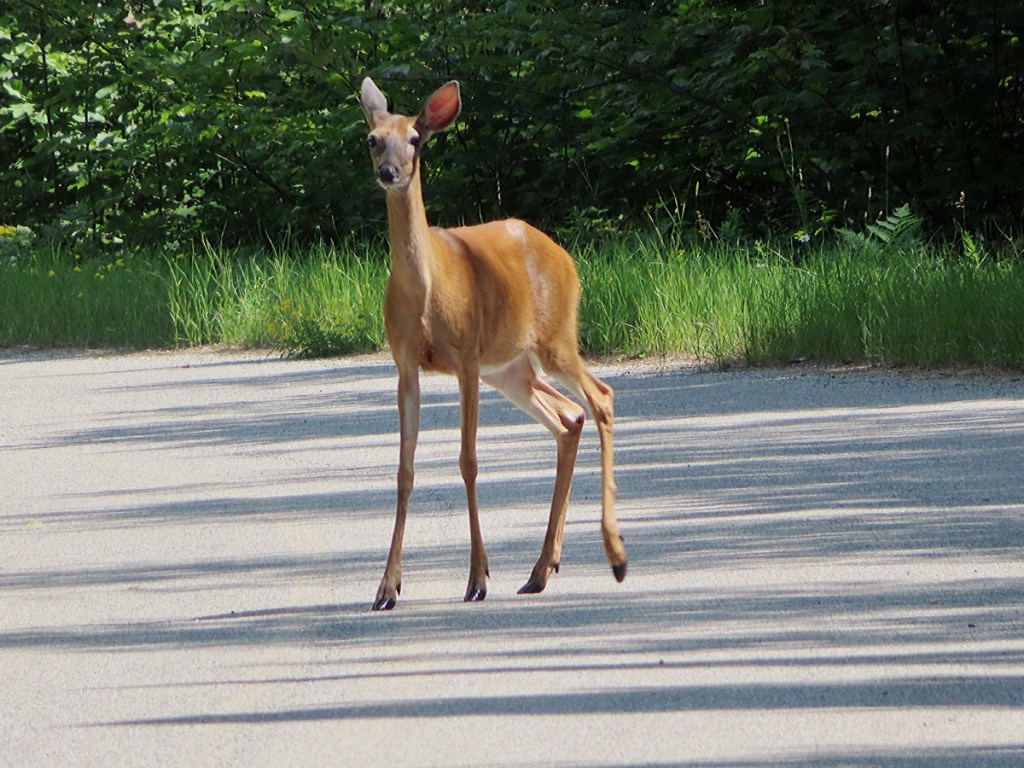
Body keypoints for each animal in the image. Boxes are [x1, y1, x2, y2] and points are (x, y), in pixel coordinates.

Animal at [359, 76, 627, 610]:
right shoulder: (405, 364)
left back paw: (614, 556)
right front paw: (387, 587)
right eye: (372, 139)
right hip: (510, 368)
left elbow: (468, 461)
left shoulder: (464, 356)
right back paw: (541, 569)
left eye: (416, 139)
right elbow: (404, 470)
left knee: (601, 397)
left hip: (554, 339)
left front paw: (478, 578)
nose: (389, 172)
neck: (425, 292)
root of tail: (565, 255)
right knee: (570, 416)